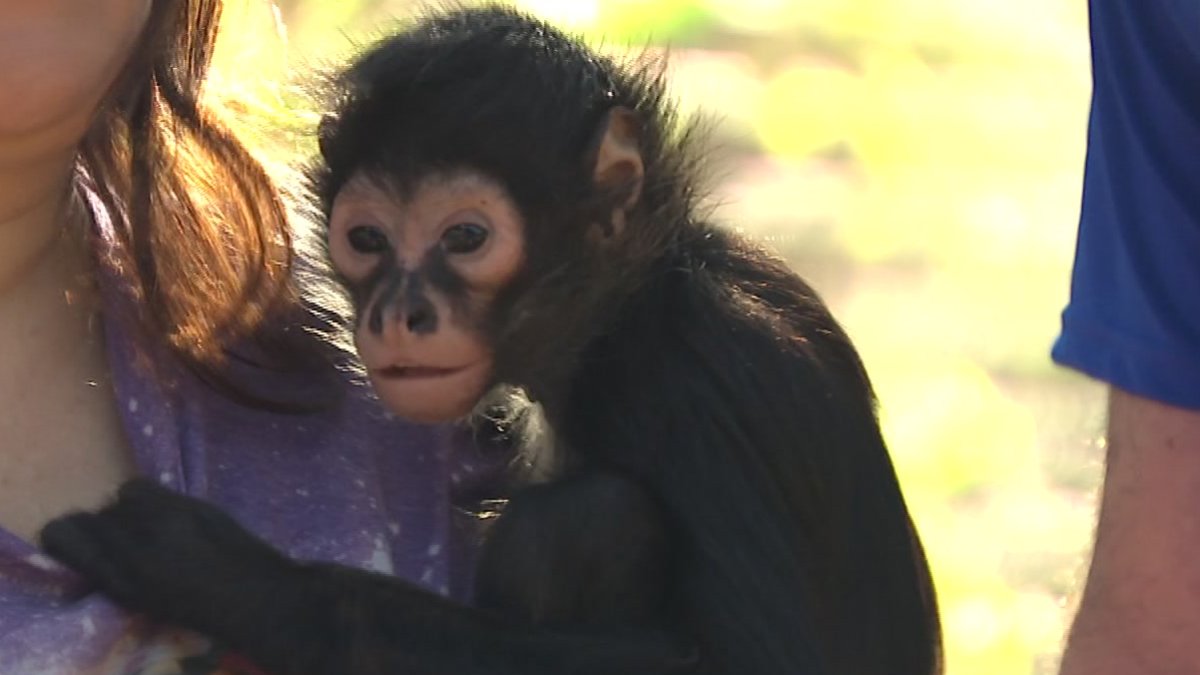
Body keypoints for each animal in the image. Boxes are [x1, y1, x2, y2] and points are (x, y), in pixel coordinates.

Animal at [39, 5, 943, 675]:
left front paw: (237, 579)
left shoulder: (697, 385)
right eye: (367, 239)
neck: (631, 310)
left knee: (583, 518)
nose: (398, 313)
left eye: (466, 237)